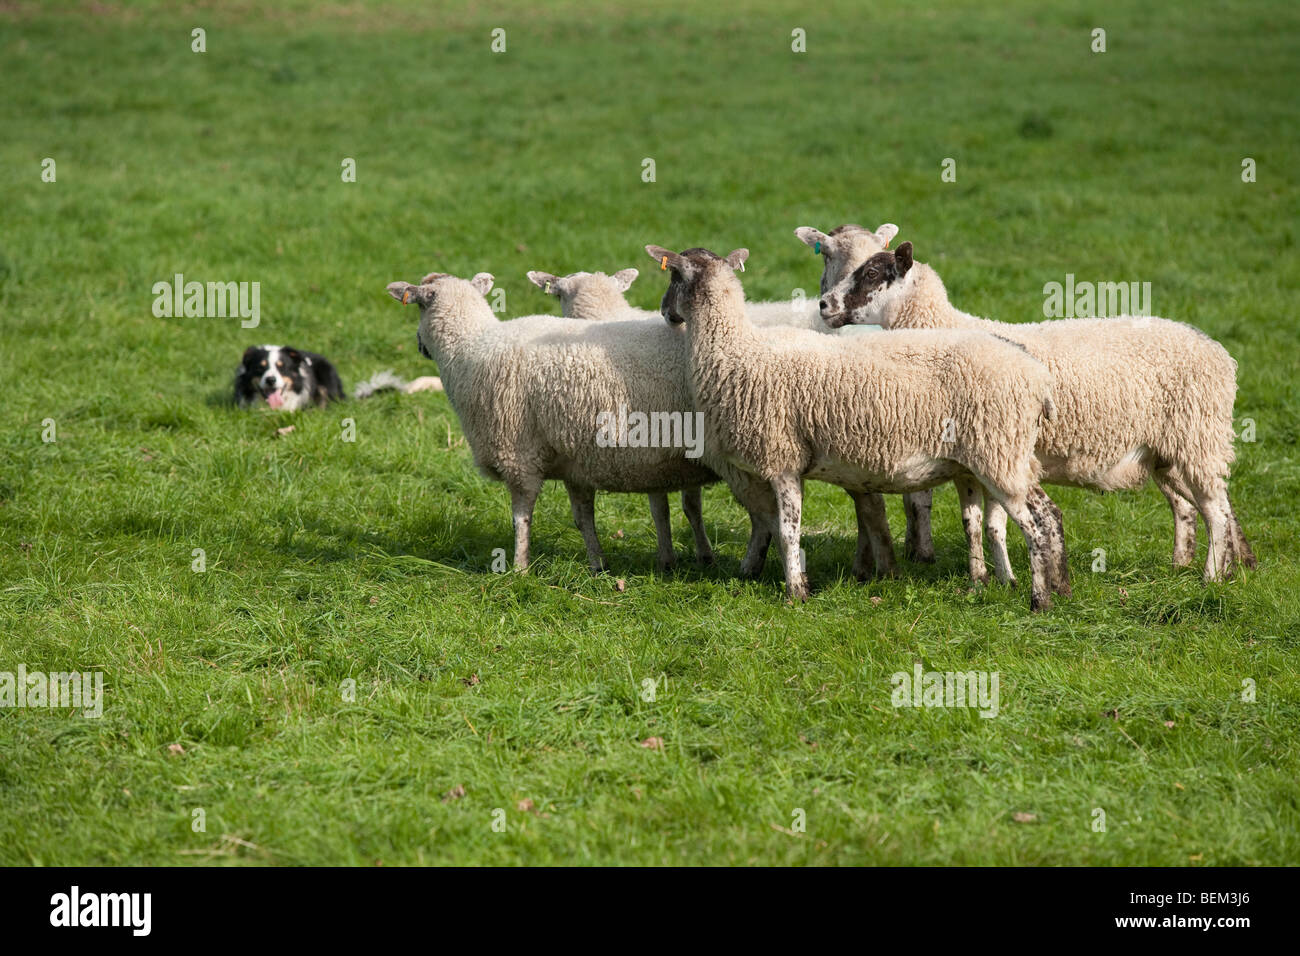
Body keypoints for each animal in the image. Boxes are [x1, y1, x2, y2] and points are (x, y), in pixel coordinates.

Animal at [385, 270, 782, 577]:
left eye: (418, 305)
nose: (419, 345)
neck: (472, 348)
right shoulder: (575, 460)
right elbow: (583, 518)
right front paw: (598, 565)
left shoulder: (518, 455)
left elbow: (521, 517)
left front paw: (519, 570)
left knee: (766, 517)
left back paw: (753, 568)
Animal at [646, 244, 1070, 611]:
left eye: (673, 277)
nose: (665, 312)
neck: (735, 349)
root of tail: (1040, 379)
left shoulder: (782, 459)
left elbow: (787, 531)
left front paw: (796, 593)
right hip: (1002, 457)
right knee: (1050, 514)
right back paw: (1058, 586)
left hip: (999, 454)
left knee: (1036, 524)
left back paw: (1039, 599)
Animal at [818, 240, 1254, 584]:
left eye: (872, 272)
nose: (823, 305)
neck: (939, 328)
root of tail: (1217, 350)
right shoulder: (976, 459)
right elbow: (980, 523)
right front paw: (991, 578)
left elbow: (990, 523)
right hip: (1166, 451)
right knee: (1191, 506)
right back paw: (1194, 564)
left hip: (1197, 436)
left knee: (1215, 508)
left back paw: (1211, 577)